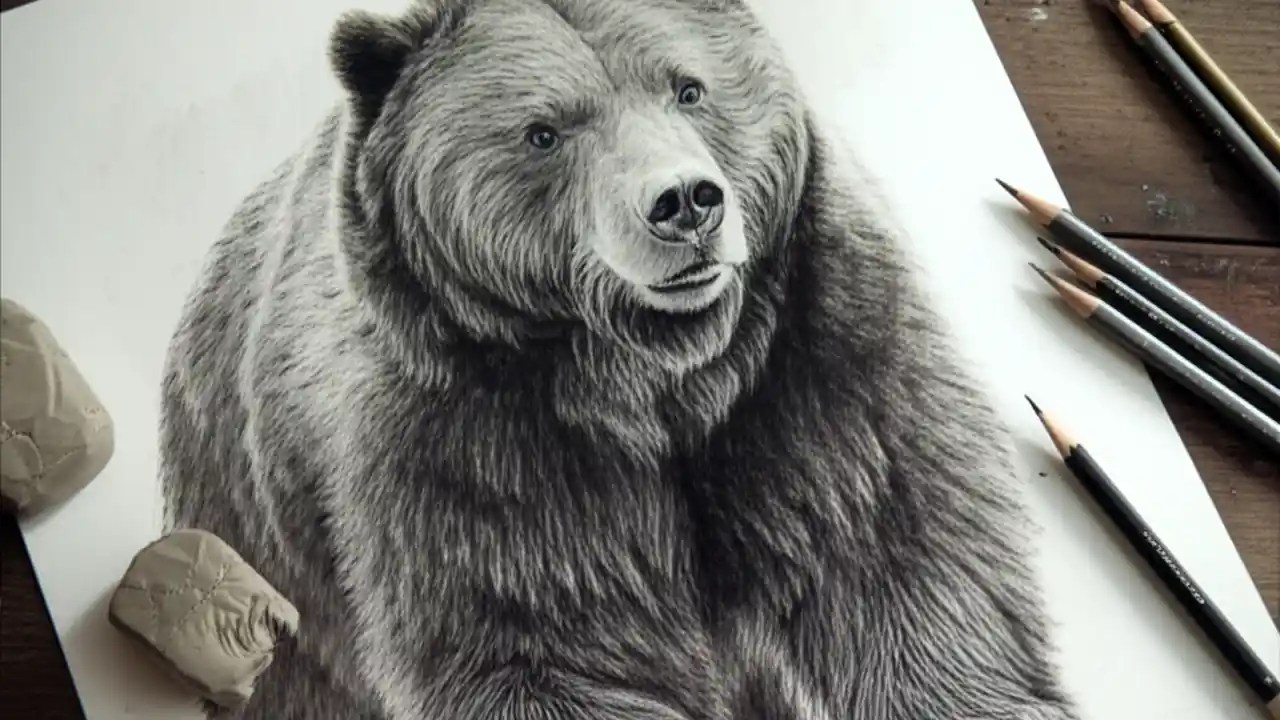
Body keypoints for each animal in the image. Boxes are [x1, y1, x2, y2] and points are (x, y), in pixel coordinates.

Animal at [159, 0, 1079, 718]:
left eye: (688, 87)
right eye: (544, 131)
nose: (685, 202)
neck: (659, 372)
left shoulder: (816, 352)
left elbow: (904, 560)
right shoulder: (468, 435)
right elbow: (547, 647)